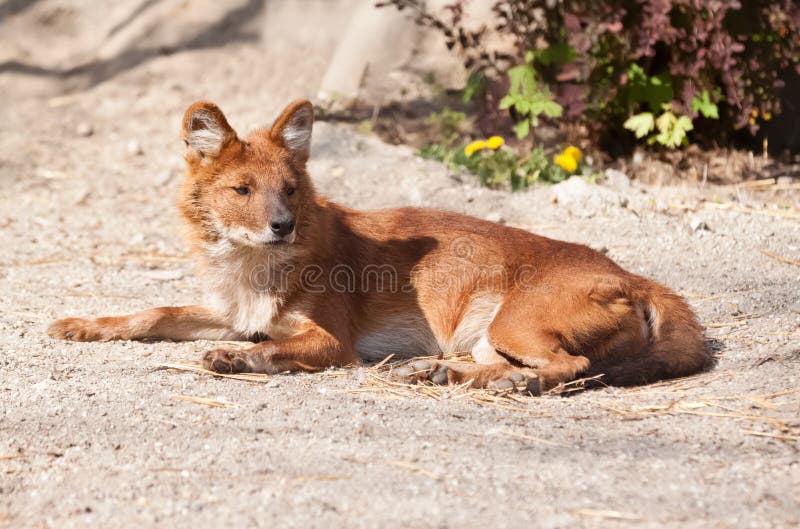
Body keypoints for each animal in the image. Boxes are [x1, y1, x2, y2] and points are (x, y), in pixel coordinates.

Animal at [47, 99, 709, 394]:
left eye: (290, 190)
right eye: (243, 190)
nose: (282, 224)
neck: (253, 265)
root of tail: (635, 276)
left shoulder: (330, 340)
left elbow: (271, 350)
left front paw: (234, 360)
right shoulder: (235, 314)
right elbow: (153, 312)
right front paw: (82, 325)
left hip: (514, 321)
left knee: (570, 367)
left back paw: (493, 383)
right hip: (488, 332)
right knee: (514, 364)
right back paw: (437, 371)